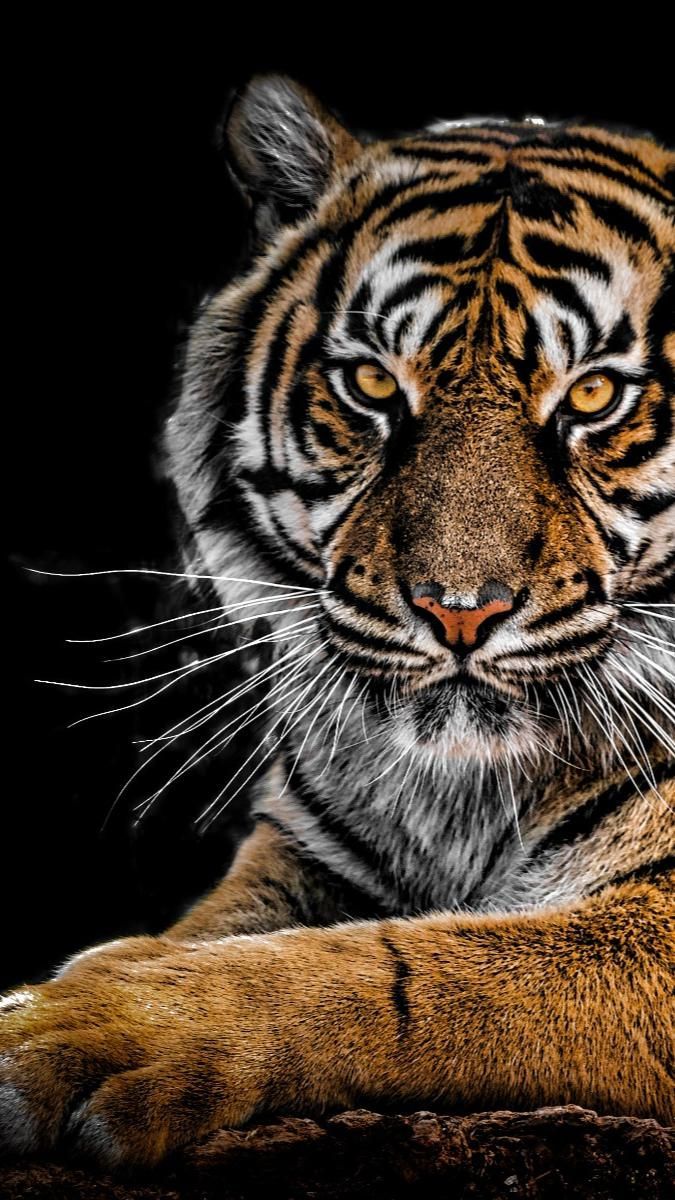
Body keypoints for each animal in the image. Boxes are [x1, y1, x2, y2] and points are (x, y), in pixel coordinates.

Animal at [1, 74, 673, 1169]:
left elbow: (398, 972)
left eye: (595, 396)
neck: (460, 795)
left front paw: (93, 1025)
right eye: (369, 385)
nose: (458, 611)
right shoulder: (308, 850)